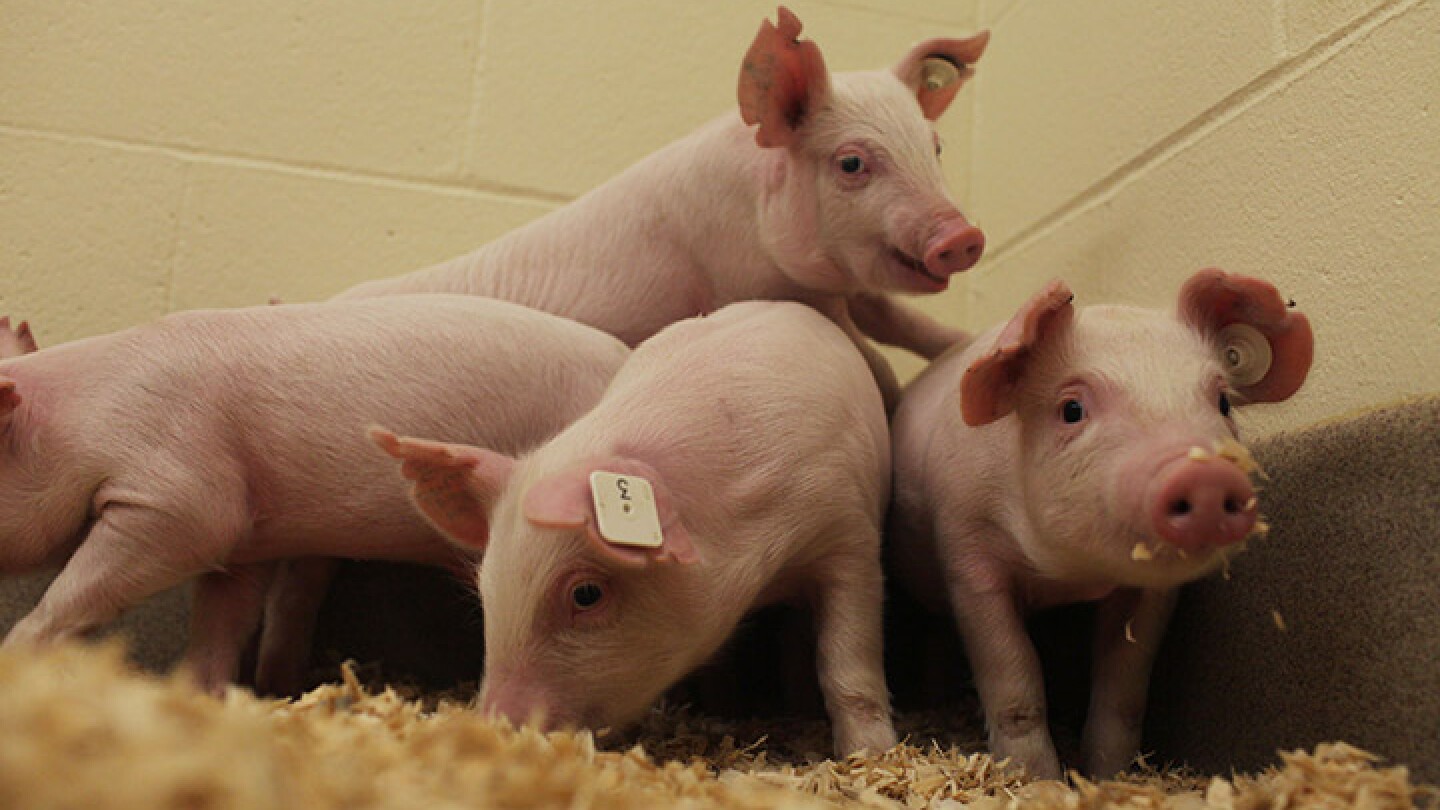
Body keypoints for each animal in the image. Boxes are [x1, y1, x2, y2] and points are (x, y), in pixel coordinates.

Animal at [0, 295, 628, 692]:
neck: (78, 425)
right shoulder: (247, 537)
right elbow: (221, 620)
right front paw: (203, 694)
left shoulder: (182, 494)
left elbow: (79, 587)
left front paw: (15, 658)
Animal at [371, 301, 896, 756]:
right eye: (486, 589)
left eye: (586, 594)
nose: (495, 727)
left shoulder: (849, 534)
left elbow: (848, 663)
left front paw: (869, 754)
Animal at [887, 269, 1314, 779]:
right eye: (1072, 409)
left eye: (1223, 402)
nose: (1205, 473)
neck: (1069, 578)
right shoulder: (967, 553)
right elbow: (1015, 682)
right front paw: (1039, 781)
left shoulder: (1151, 593)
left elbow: (1123, 688)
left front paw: (1109, 777)